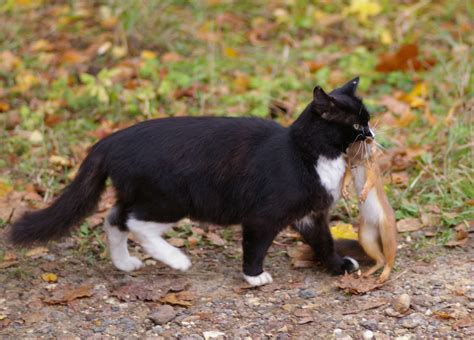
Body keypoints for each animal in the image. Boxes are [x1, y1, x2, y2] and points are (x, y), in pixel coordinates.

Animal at [9, 77, 374, 286]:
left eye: (368, 120)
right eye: (357, 125)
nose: (372, 134)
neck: (306, 152)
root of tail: (110, 140)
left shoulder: (310, 215)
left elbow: (324, 241)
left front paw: (338, 266)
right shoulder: (263, 216)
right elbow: (256, 245)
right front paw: (254, 276)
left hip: (142, 193)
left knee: (115, 218)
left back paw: (125, 263)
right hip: (174, 198)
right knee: (134, 222)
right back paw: (176, 260)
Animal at [342, 139, 398, 282]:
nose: (370, 139)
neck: (358, 162)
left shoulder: (372, 167)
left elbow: (371, 180)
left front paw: (364, 194)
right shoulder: (350, 167)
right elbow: (346, 177)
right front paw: (344, 192)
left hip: (386, 228)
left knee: (389, 257)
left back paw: (383, 276)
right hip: (365, 235)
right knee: (380, 259)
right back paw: (368, 273)